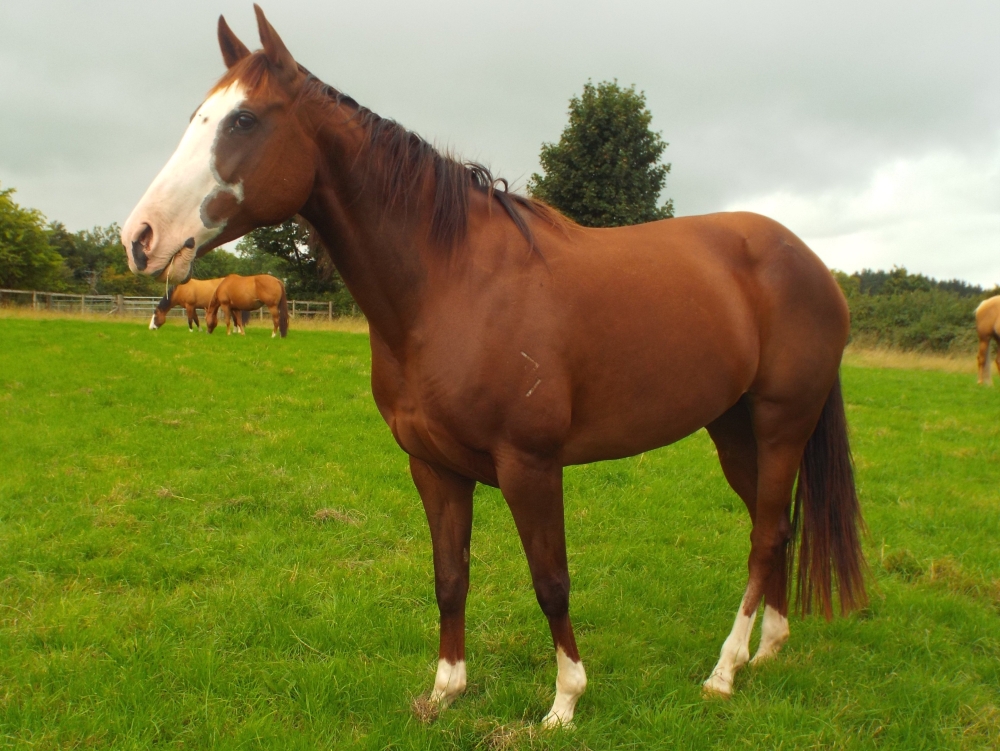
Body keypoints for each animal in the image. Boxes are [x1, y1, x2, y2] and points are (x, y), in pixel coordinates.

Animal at [120, 7, 866, 726]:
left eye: (244, 120)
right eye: (199, 116)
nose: (140, 237)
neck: (452, 286)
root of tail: (811, 265)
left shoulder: (529, 465)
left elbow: (551, 581)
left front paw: (565, 701)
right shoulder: (433, 466)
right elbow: (450, 576)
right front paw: (444, 691)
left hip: (780, 425)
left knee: (766, 533)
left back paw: (724, 671)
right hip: (734, 430)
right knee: (775, 528)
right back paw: (767, 647)